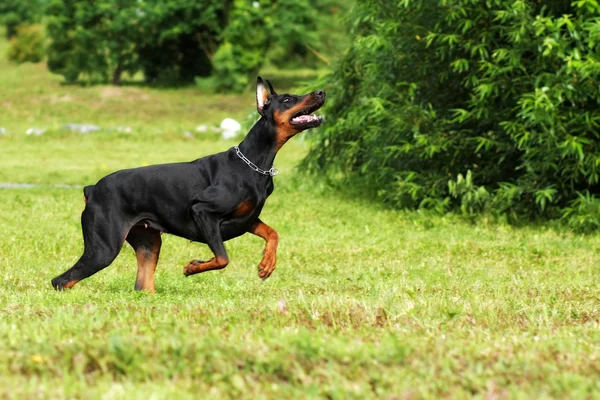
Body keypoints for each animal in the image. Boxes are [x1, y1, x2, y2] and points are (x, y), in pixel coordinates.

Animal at [51, 78, 326, 292]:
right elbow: (222, 258)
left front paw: (266, 265)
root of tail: (92, 189)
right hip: (103, 249)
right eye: (288, 99)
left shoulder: (246, 219)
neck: (253, 163)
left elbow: (272, 233)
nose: (322, 92)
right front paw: (192, 267)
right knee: (61, 280)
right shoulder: (204, 212)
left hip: (148, 242)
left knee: (142, 286)